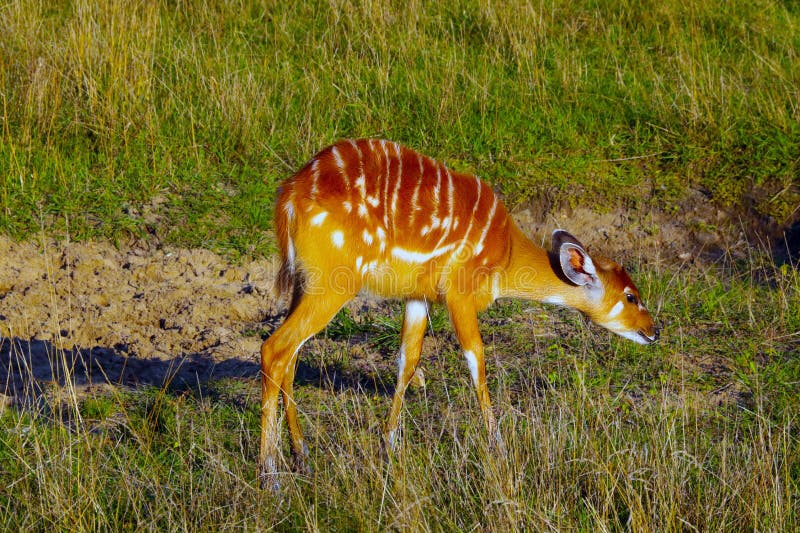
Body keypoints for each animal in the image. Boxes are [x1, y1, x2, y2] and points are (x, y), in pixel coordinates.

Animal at [259, 139, 658, 490]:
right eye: (631, 296)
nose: (654, 331)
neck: (506, 255)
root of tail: (289, 197)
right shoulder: (460, 294)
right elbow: (475, 359)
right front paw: (498, 446)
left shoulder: (419, 297)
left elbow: (408, 360)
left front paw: (389, 445)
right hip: (333, 285)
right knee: (274, 349)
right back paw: (271, 476)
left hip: (304, 283)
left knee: (290, 356)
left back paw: (302, 456)